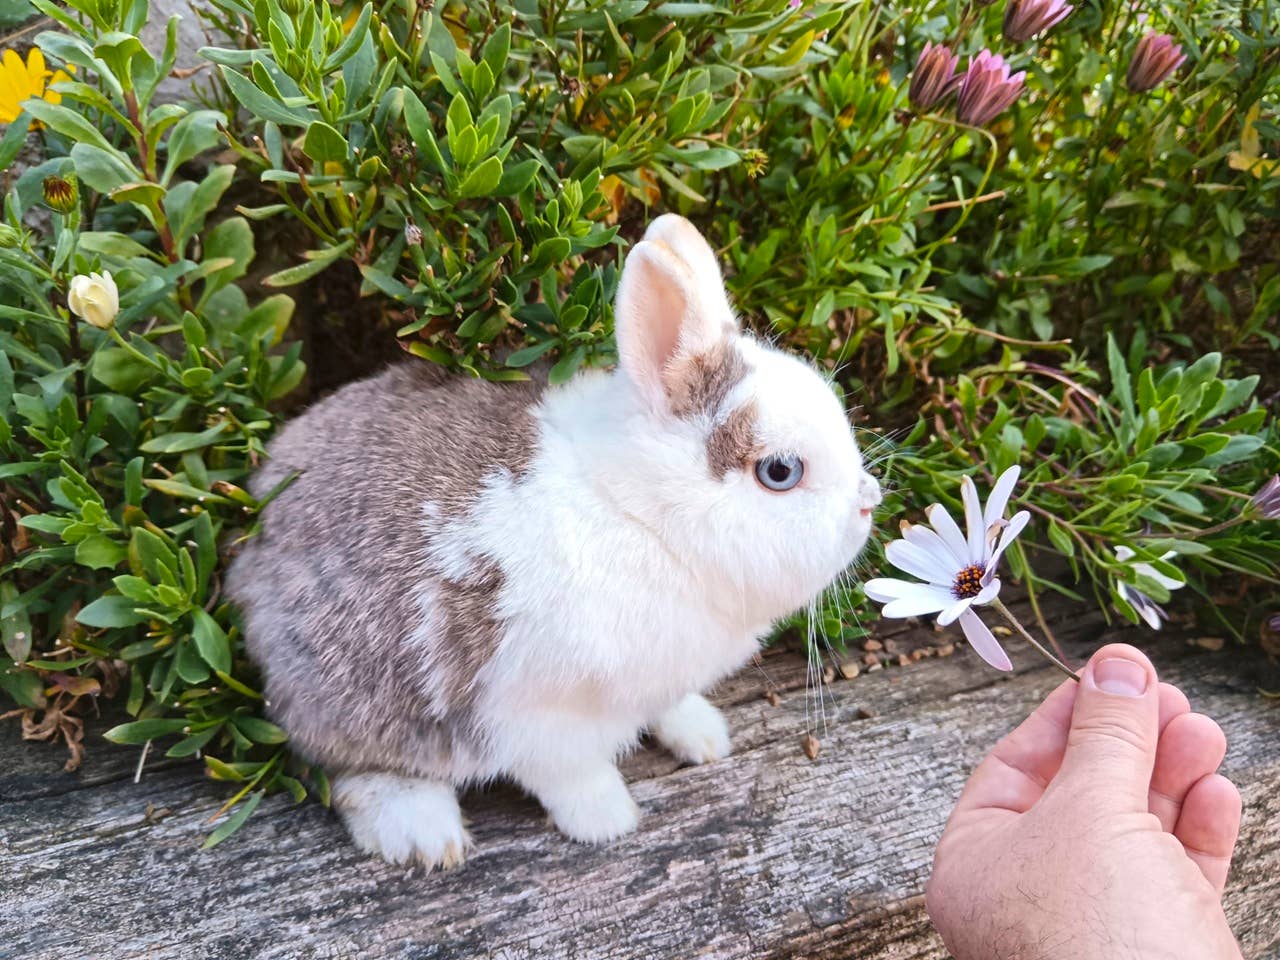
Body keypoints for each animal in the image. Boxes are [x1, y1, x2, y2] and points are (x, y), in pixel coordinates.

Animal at [225, 214, 883, 869]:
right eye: (780, 472)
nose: (869, 500)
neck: (641, 515)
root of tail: (250, 557)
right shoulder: (537, 716)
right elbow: (569, 775)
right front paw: (608, 822)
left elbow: (669, 707)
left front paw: (705, 738)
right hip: (352, 697)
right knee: (349, 769)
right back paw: (425, 836)